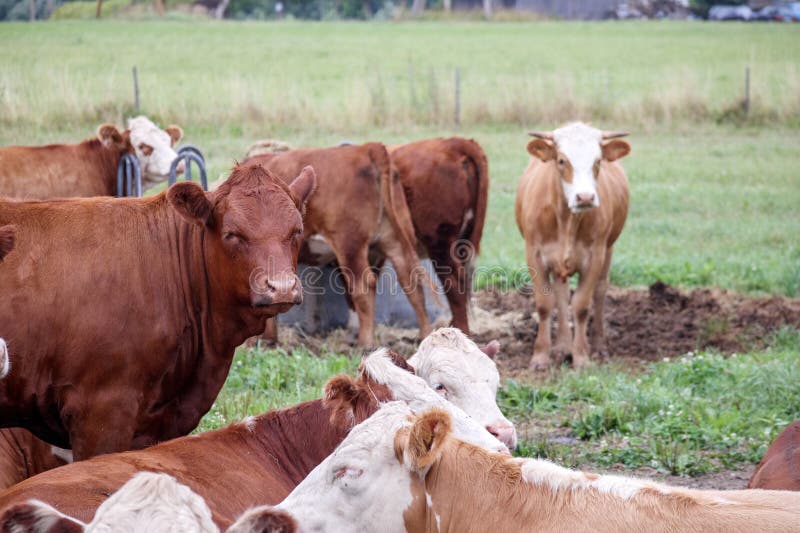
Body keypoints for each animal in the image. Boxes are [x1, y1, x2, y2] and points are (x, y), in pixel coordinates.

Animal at [244, 143, 432, 346]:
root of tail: (368, 148)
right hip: (394, 240)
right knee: (410, 281)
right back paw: (424, 335)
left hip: (350, 244)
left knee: (363, 286)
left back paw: (365, 343)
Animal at [515, 122, 630, 370]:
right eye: (561, 160)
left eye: (598, 161)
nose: (585, 197)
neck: (567, 219)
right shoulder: (534, 255)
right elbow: (545, 304)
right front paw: (541, 356)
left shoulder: (595, 256)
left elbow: (581, 305)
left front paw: (581, 356)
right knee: (560, 295)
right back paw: (561, 347)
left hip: (609, 249)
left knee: (600, 292)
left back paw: (598, 347)